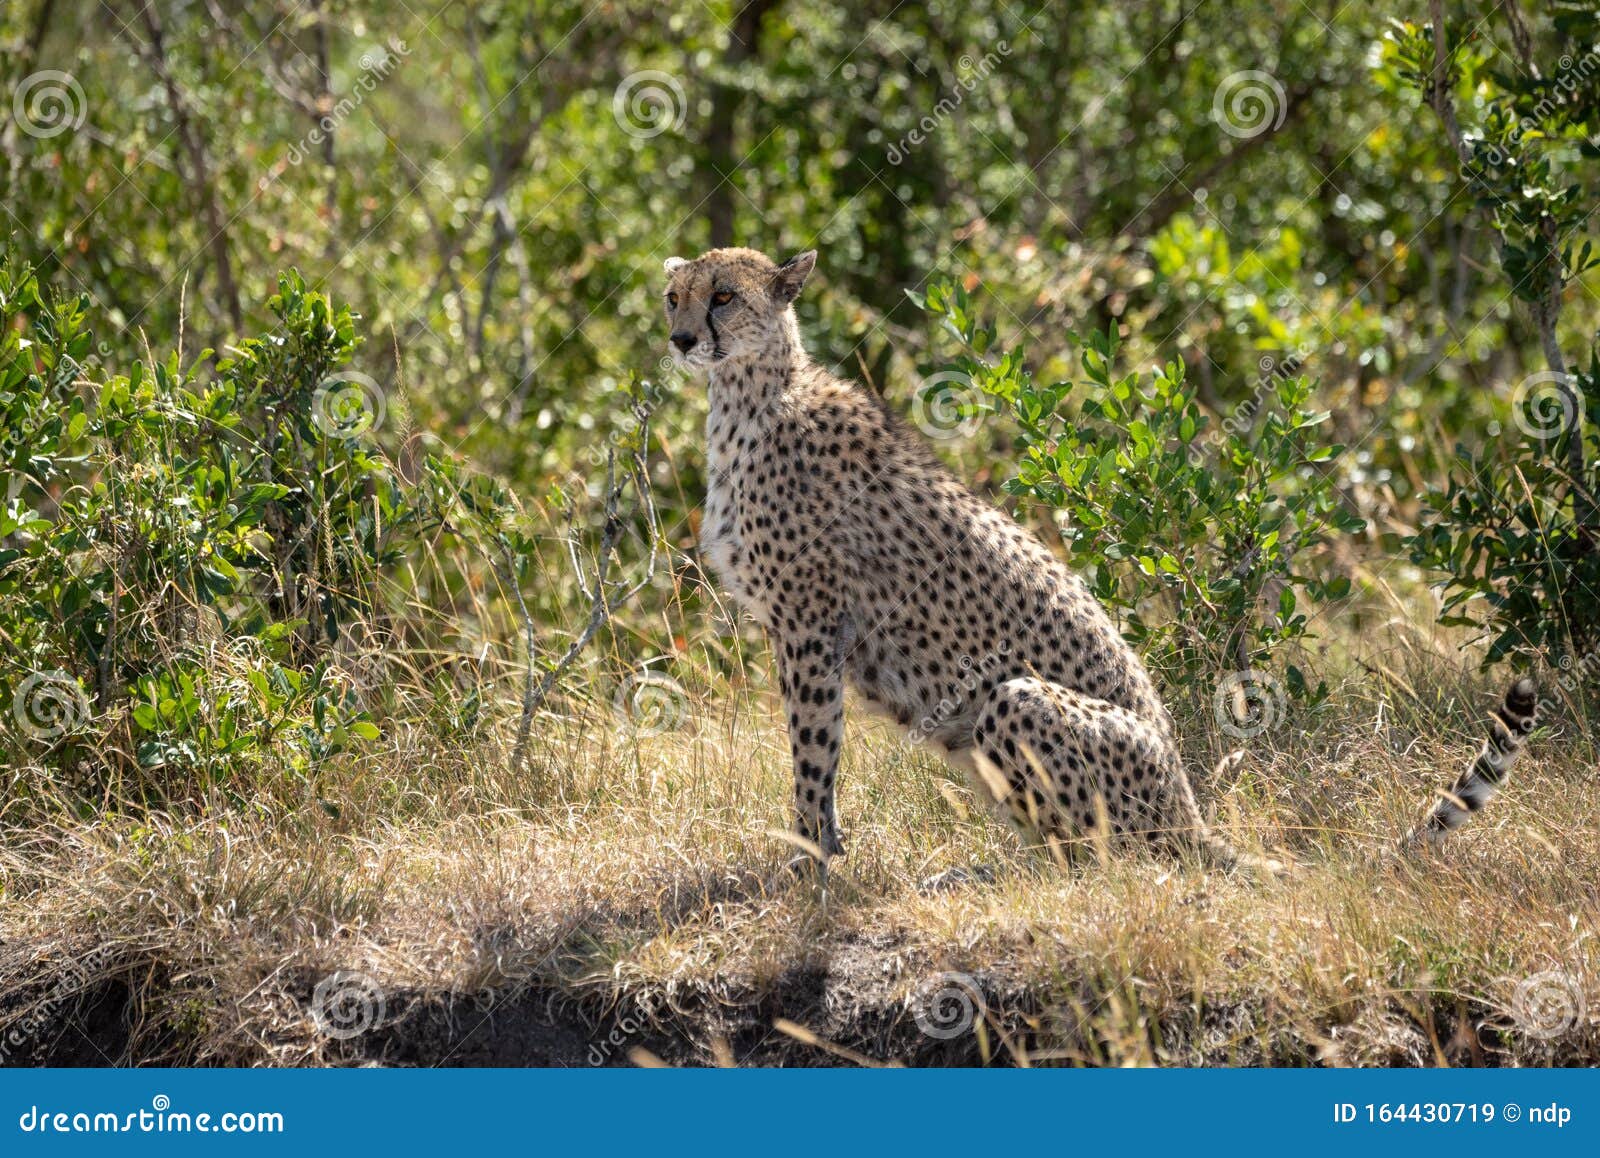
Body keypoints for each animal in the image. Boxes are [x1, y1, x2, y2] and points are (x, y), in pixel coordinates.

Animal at [662, 244, 1538, 881]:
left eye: (725, 296)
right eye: (677, 296)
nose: (679, 339)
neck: (748, 395)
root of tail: (1188, 808)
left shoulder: (810, 623)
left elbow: (814, 755)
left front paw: (806, 865)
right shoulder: (802, 627)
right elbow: (818, 755)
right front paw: (820, 856)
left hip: (1015, 701)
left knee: (1099, 865)